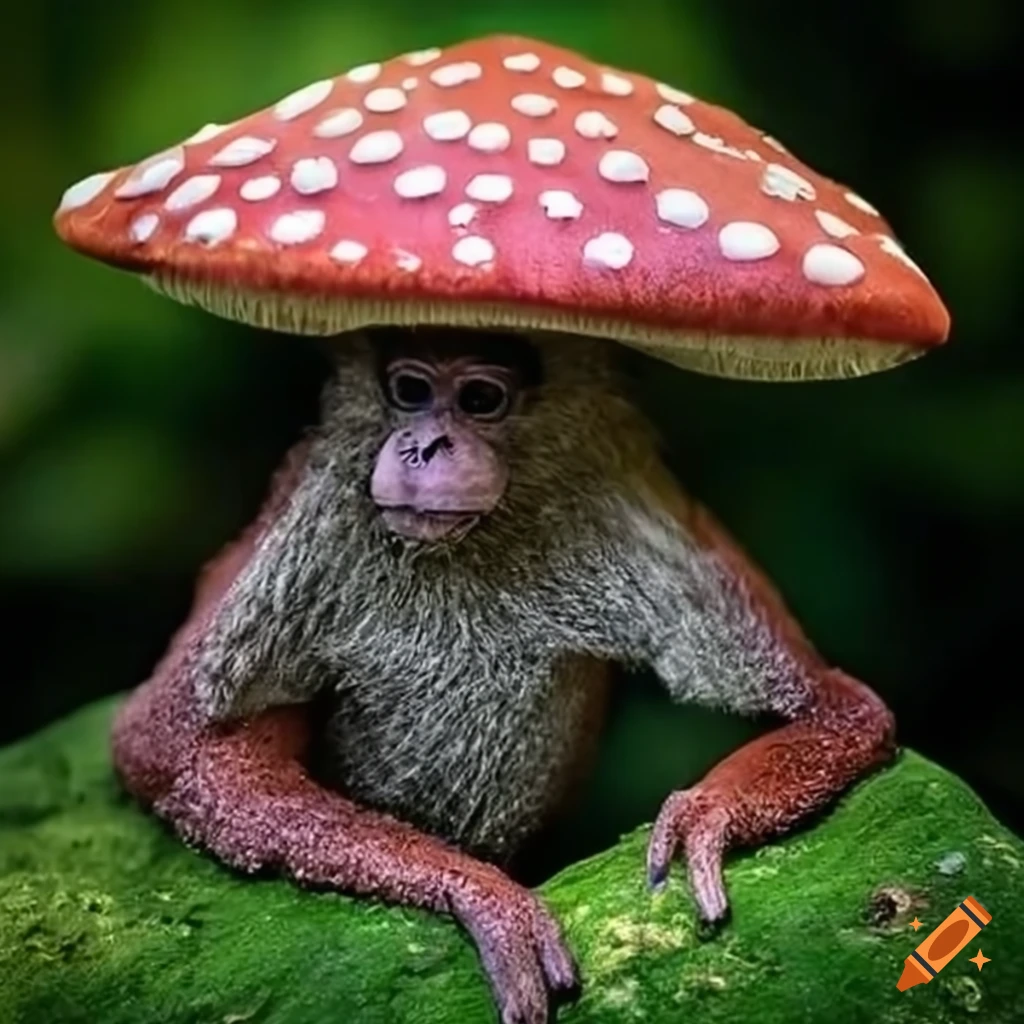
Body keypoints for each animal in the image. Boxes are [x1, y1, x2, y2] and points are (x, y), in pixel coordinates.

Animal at [112, 326, 896, 1024]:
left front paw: (711, 811)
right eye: (409, 391)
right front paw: (479, 892)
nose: (425, 446)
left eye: (481, 398)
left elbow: (840, 710)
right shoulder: (317, 524)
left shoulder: (623, 507)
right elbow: (160, 744)